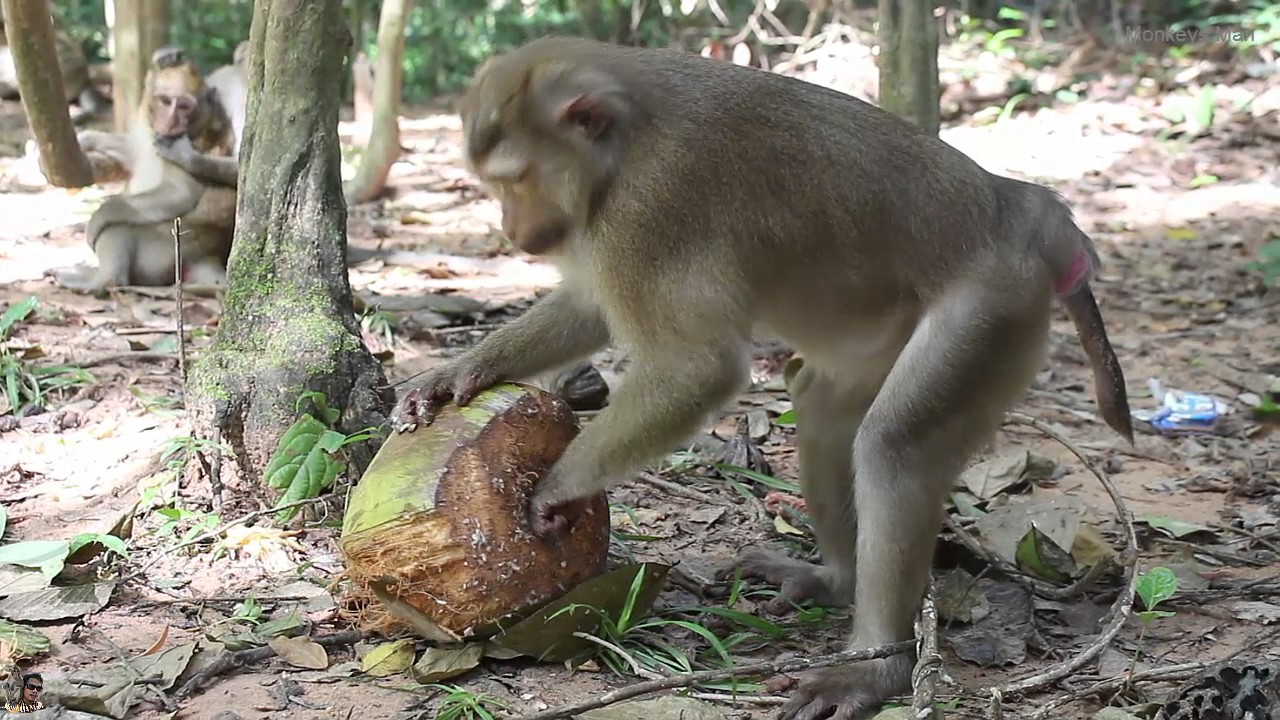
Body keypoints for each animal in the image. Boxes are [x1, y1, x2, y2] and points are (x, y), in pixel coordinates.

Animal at [56, 47, 238, 294]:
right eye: (165, 101)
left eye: (184, 106)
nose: (170, 122)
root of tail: (206, 259)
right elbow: (131, 151)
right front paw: (89, 139)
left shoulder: (183, 141)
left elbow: (180, 194)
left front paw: (101, 214)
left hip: (167, 250)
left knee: (118, 227)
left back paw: (102, 280)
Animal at [388, 38, 1135, 720]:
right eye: (494, 185)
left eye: (515, 178)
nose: (513, 231)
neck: (621, 147)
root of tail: (1028, 212)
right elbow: (592, 308)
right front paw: (461, 372)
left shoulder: (647, 209)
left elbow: (697, 366)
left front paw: (553, 487)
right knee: (825, 410)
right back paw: (837, 579)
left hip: (991, 312)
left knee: (895, 444)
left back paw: (876, 669)